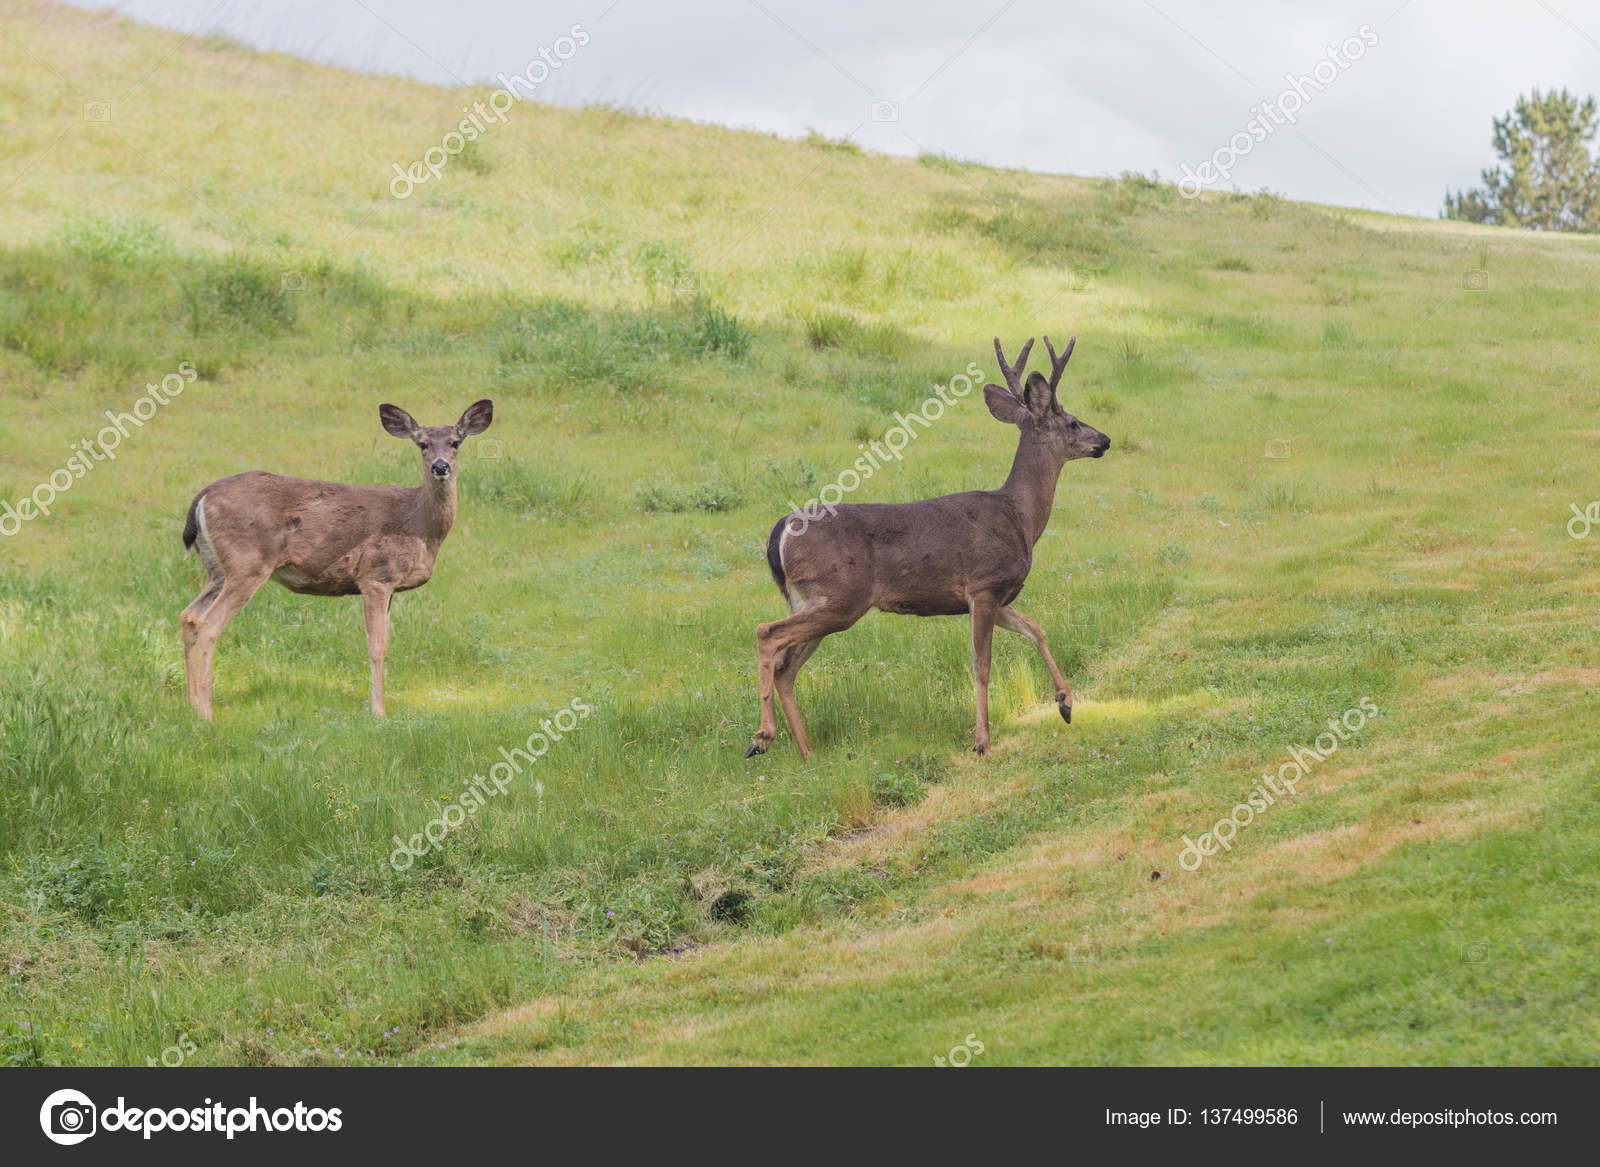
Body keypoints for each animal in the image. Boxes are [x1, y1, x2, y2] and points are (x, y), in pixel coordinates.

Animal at [179, 400, 494, 720]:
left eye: (455, 442)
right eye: (422, 444)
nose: (440, 466)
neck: (418, 525)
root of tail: (202, 498)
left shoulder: (390, 586)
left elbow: (386, 642)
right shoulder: (376, 575)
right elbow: (376, 646)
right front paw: (379, 711)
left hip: (217, 569)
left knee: (188, 615)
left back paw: (191, 704)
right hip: (248, 563)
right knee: (208, 624)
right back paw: (206, 713)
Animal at [745, 336, 1109, 760]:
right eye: (1073, 421)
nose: (1105, 440)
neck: (1020, 515)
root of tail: (781, 530)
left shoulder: (995, 596)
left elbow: (1036, 629)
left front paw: (1065, 703)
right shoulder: (984, 585)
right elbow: (982, 665)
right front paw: (982, 742)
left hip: (813, 600)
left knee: (786, 667)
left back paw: (807, 754)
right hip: (839, 596)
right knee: (766, 634)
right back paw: (762, 737)